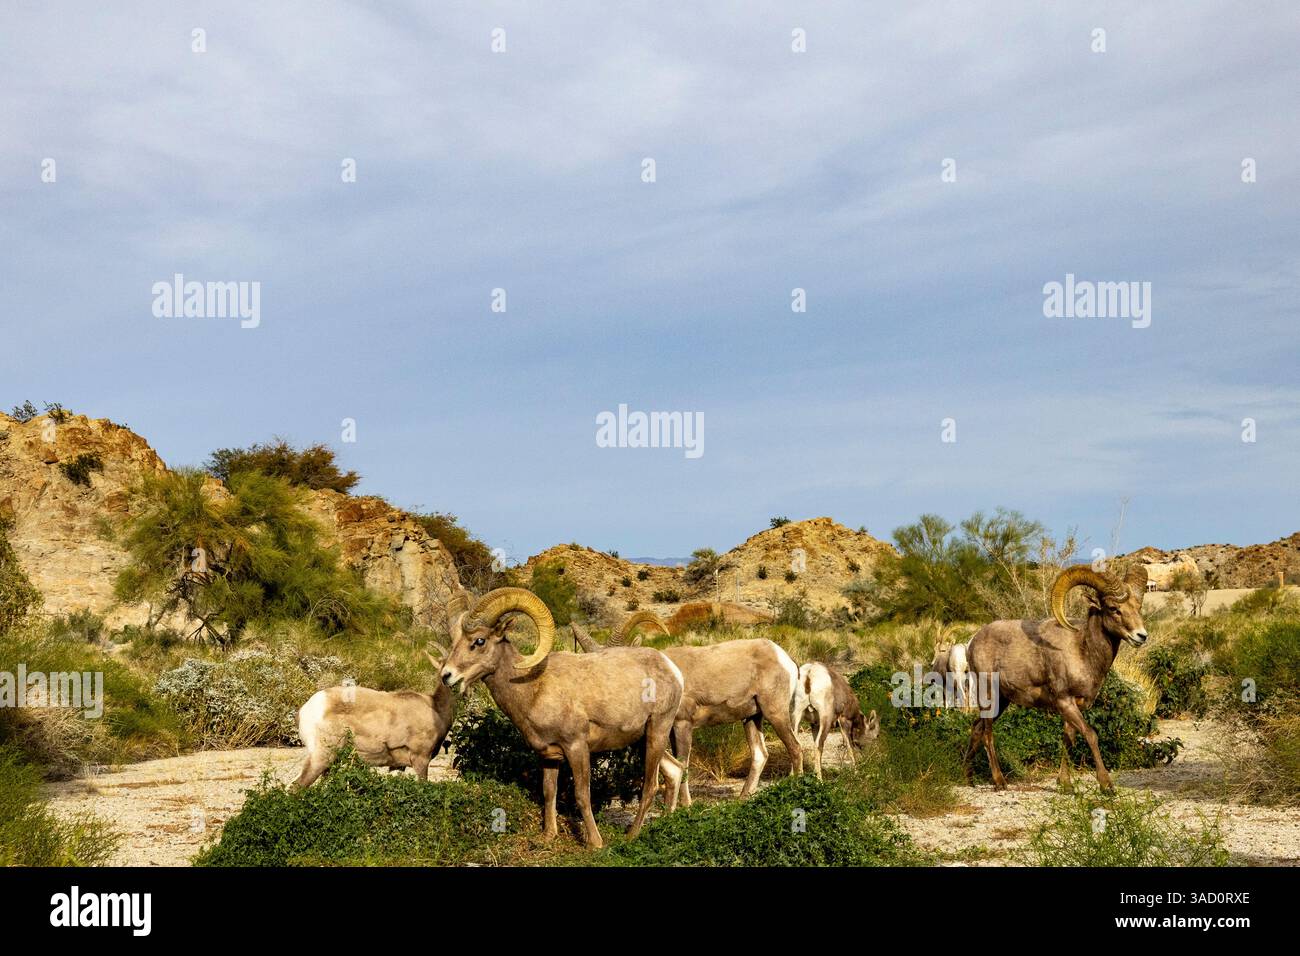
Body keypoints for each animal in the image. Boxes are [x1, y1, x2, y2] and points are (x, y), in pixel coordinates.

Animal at [439, 587, 683, 848]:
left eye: (479, 641)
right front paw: (548, 836)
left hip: (657, 730)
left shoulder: (576, 747)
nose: (447, 675)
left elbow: (582, 795)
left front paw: (595, 843)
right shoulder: (548, 756)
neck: (532, 687)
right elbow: (549, 792)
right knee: (675, 771)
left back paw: (631, 837)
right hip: (641, 741)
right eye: (454, 639)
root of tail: (672, 670)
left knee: (651, 785)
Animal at [963, 564, 1149, 792]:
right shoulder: (1064, 701)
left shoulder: (1075, 706)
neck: (1083, 650)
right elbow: (1091, 735)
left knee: (977, 728)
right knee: (987, 733)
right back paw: (999, 782)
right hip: (988, 696)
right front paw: (1106, 785)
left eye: (1138, 607)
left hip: (1002, 701)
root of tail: (972, 643)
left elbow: (1068, 739)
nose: (1141, 636)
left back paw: (967, 778)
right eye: (1114, 608)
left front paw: (1065, 785)